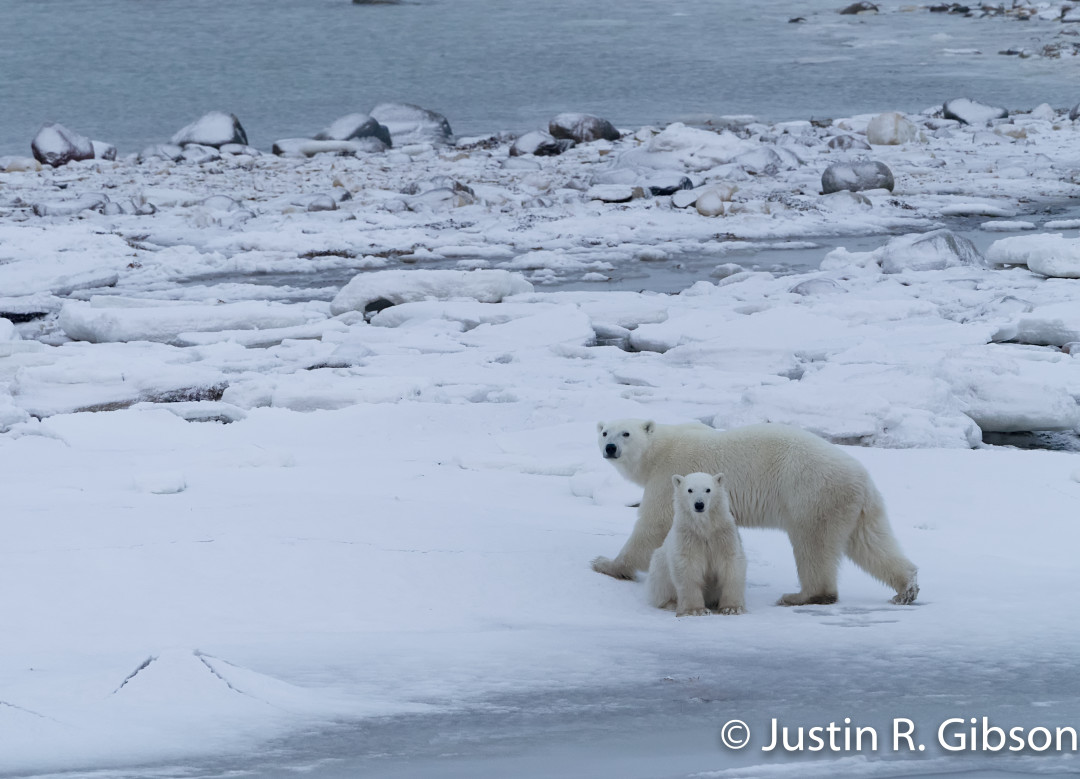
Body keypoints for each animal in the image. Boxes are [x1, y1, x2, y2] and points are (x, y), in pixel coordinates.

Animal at [648, 472, 747, 617]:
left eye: (708, 489)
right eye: (690, 490)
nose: (699, 504)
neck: (704, 528)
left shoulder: (723, 535)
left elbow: (731, 564)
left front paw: (731, 608)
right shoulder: (688, 537)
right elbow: (688, 568)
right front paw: (696, 610)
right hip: (659, 566)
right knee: (660, 583)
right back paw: (671, 603)